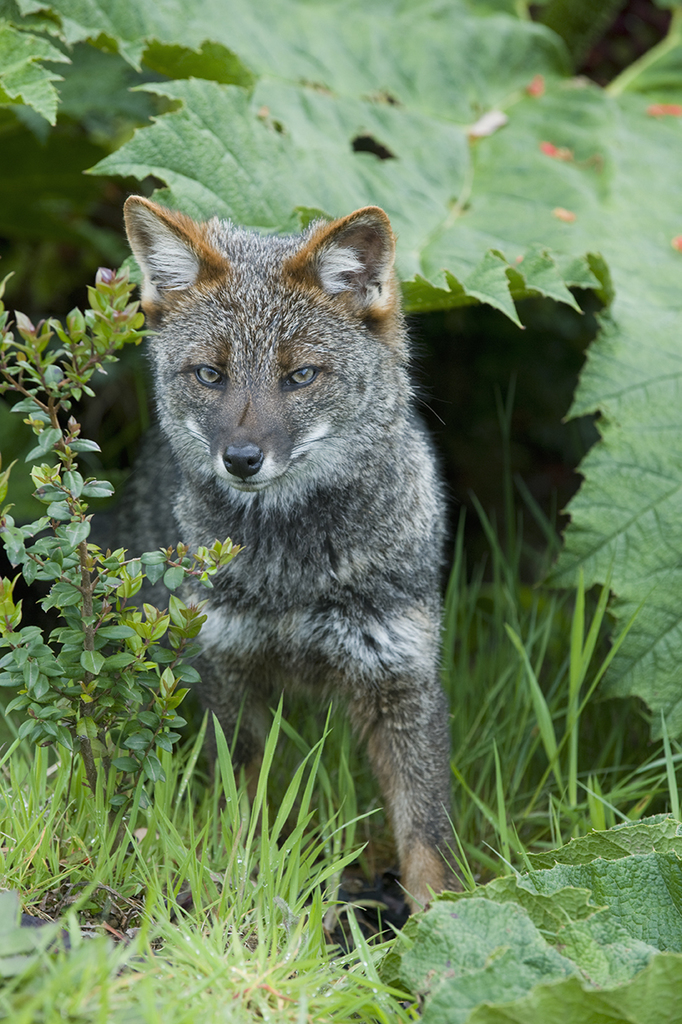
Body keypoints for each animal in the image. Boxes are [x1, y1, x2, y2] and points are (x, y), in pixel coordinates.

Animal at [119, 195, 454, 910]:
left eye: (299, 376)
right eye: (210, 375)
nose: (242, 459)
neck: (294, 577)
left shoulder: (403, 681)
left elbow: (426, 842)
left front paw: (446, 925)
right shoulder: (227, 674)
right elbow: (243, 812)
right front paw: (244, 887)